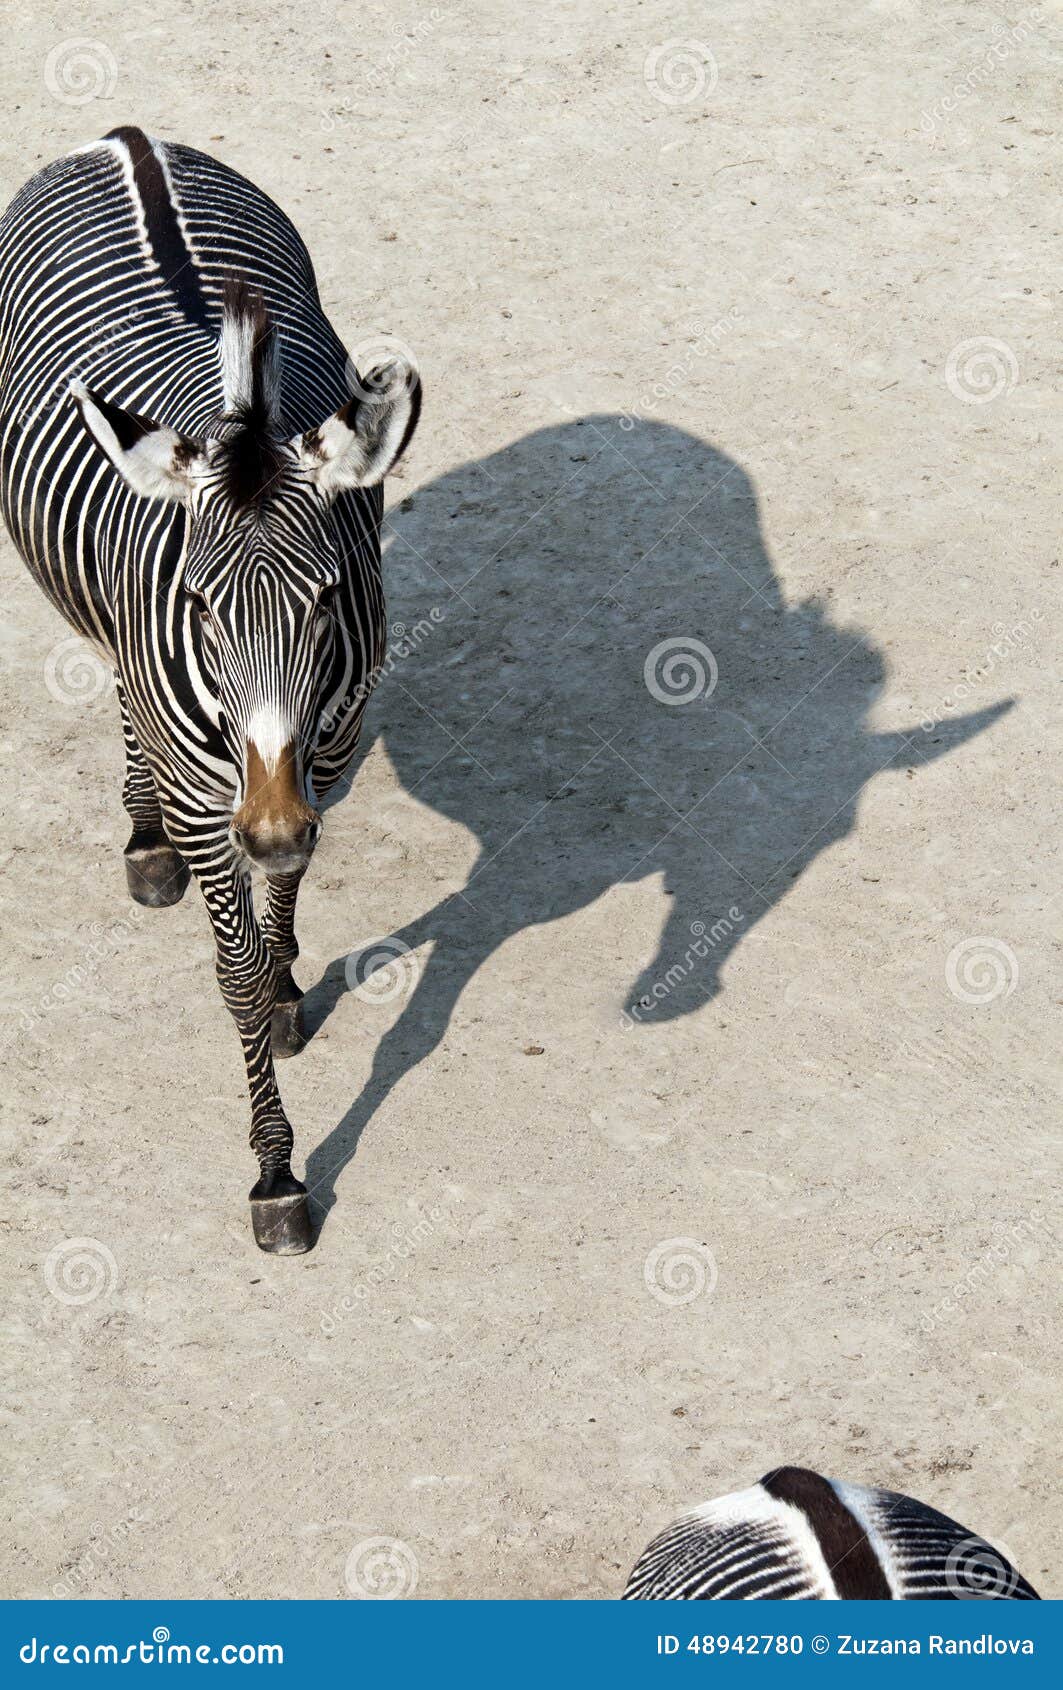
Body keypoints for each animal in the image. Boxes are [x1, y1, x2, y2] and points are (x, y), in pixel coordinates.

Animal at [0, 128, 420, 1253]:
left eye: (328, 599)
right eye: (197, 604)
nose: (266, 826)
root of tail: (131, 140)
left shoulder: (321, 759)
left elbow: (285, 894)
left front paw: (285, 984)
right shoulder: (215, 796)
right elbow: (229, 977)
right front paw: (277, 1173)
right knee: (118, 680)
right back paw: (142, 841)